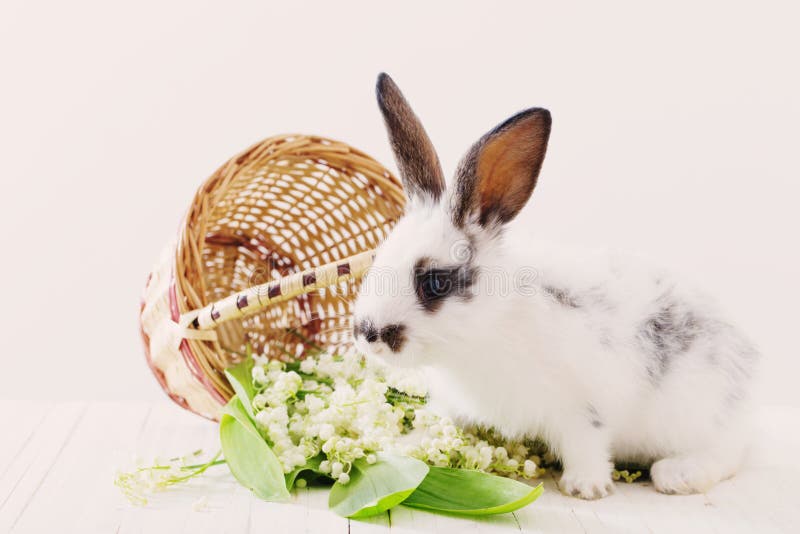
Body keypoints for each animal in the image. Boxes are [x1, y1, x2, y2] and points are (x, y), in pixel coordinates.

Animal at [352, 73, 760, 499]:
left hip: (700, 416)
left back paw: (677, 475)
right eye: (377, 260)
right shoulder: (454, 404)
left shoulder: (583, 407)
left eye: (434, 282)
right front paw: (405, 446)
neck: (485, 332)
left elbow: (587, 444)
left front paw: (586, 487)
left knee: (727, 454)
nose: (367, 333)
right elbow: (440, 422)